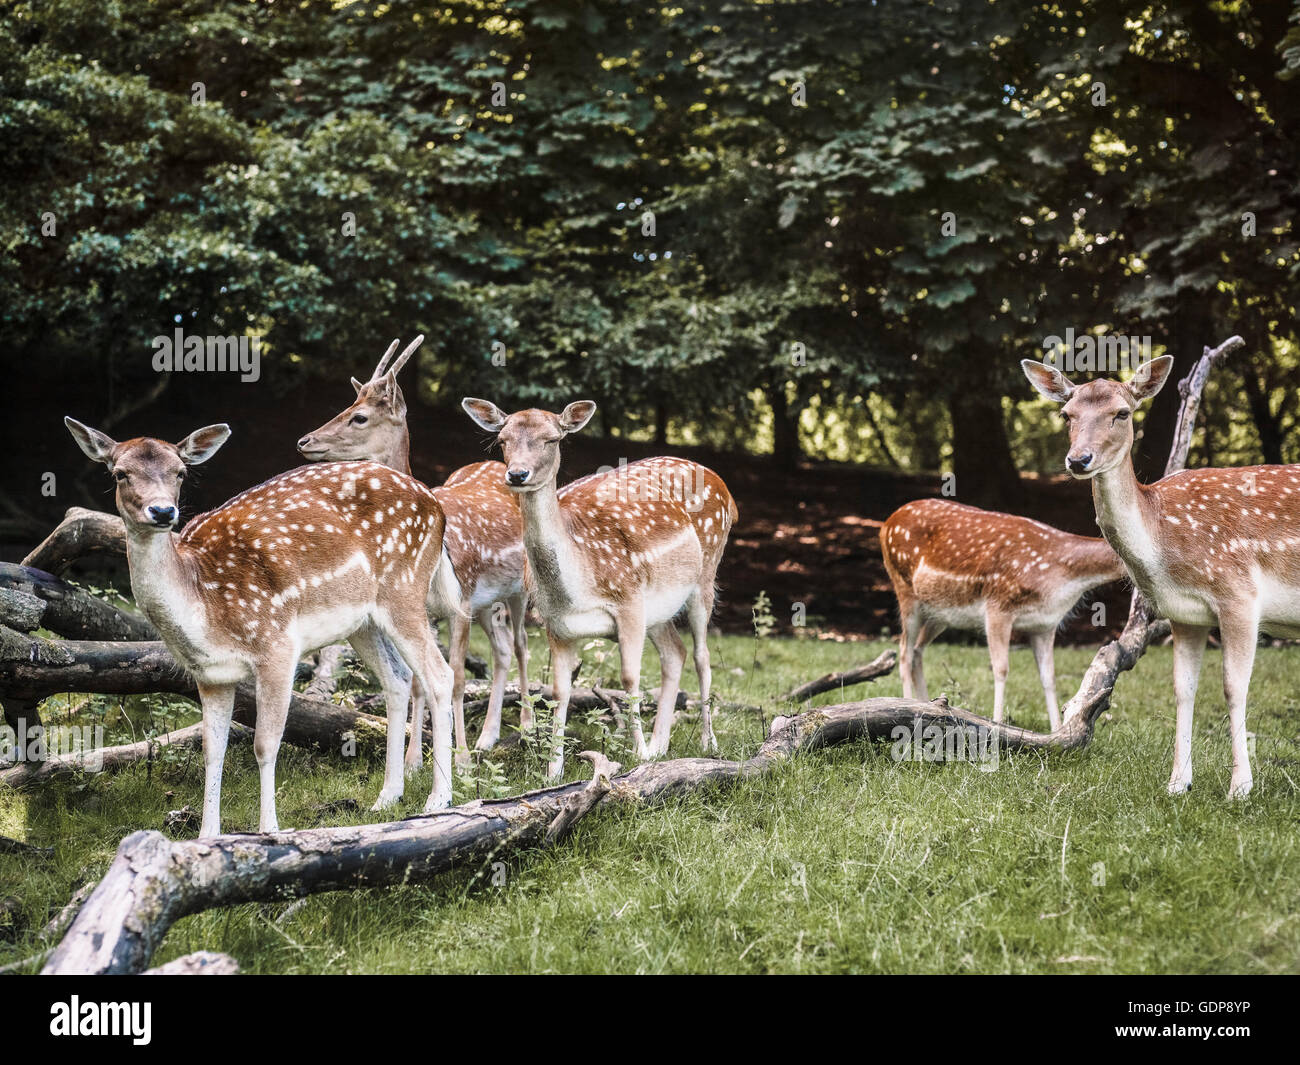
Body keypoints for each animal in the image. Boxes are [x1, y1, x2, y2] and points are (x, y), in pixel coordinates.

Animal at [64, 417, 455, 838]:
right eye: (120, 473)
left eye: (180, 472)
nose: (163, 511)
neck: (206, 611)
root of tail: (436, 505)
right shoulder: (210, 674)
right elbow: (212, 750)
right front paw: (207, 835)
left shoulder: (278, 646)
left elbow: (265, 745)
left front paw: (269, 830)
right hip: (362, 621)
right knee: (396, 680)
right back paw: (387, 797)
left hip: (405, 588)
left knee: (440, 675)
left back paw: (438, 799)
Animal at [296, 337, 530, 764]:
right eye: (347, 405)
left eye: (360, 417)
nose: (305, 440)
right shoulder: (429, 608)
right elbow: (421, 681)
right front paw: (414, 760)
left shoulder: (458, 604)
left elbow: (456, 678)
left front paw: (460, 757)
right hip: (486, 602)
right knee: (503, 648)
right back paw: (488, 736)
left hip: (518, 588)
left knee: (522, 645)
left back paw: (525, 727)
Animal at [461, 398, 737, 778]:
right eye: (502, 440)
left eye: (552, 439)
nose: (517, 475)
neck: (576, 589)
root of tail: (725, 489)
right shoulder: (556, 625)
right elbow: (560, 691)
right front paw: (553, 771)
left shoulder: (629, 601)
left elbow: (629, 677)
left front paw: (638, 753)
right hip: (659, 610)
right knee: (675, 653)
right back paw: (661, 745)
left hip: (705, 574)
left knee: (701, 655)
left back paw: (707, 743)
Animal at [881, 498, 1126, 729]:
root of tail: (886, 524)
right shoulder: (998, 607)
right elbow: (1001, 669)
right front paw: (996, 724)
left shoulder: (1045, 625)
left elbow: (1049, 677)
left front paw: (1057, 731)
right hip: (904, 588)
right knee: (904, 650)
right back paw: (906, 705)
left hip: (940, 613)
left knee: (917, 649)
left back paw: (925, 705)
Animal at [1023, 353, 1300, 798]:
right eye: (1067, 414)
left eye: (1121, 413)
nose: (1078, 460)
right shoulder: (1185, 613)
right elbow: (1182, 690)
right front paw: (1177, 782)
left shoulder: (1239, 593)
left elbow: (1233, 688)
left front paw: (1239, 787)